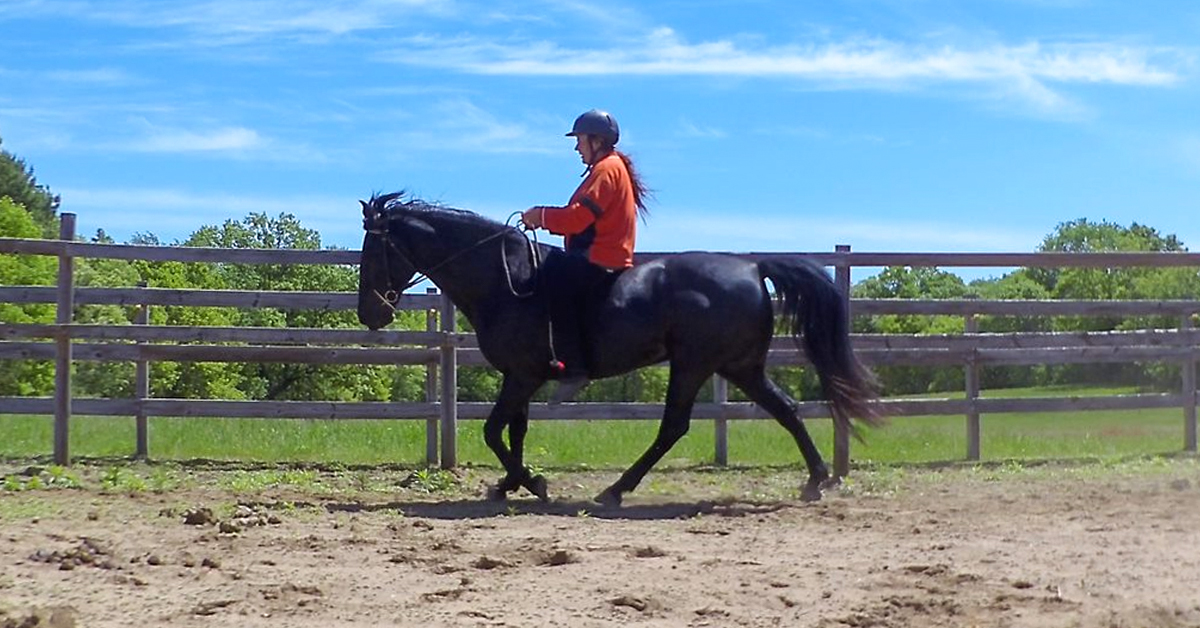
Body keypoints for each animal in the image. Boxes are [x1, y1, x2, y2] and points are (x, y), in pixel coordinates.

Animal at [357, 191, 883, 506]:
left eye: (373, 251)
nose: (370, 314)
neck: (507, 281)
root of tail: (753, 269)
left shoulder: (523, 376)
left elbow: (492, 432)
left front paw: (533, 483)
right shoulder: (519, 376)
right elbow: (514, 433)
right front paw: (510, 484)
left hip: (694, 365)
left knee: (674, 427)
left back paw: (616, 490)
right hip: (740, 367)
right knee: (786, 408)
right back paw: (816, 479)